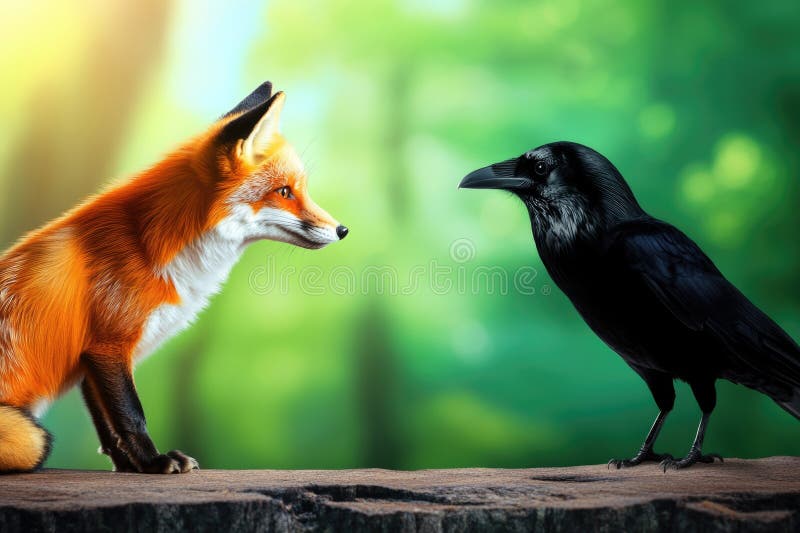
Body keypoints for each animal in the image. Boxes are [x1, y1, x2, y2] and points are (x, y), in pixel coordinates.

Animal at [0, 81, 348, 473]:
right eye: (284, 191)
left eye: (300, 189)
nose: (342, 230)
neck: (148, 246)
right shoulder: (109, 345)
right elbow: (132, 416)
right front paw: (154, 462)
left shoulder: (92, 360)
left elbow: (108, 427)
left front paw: (129, 466)